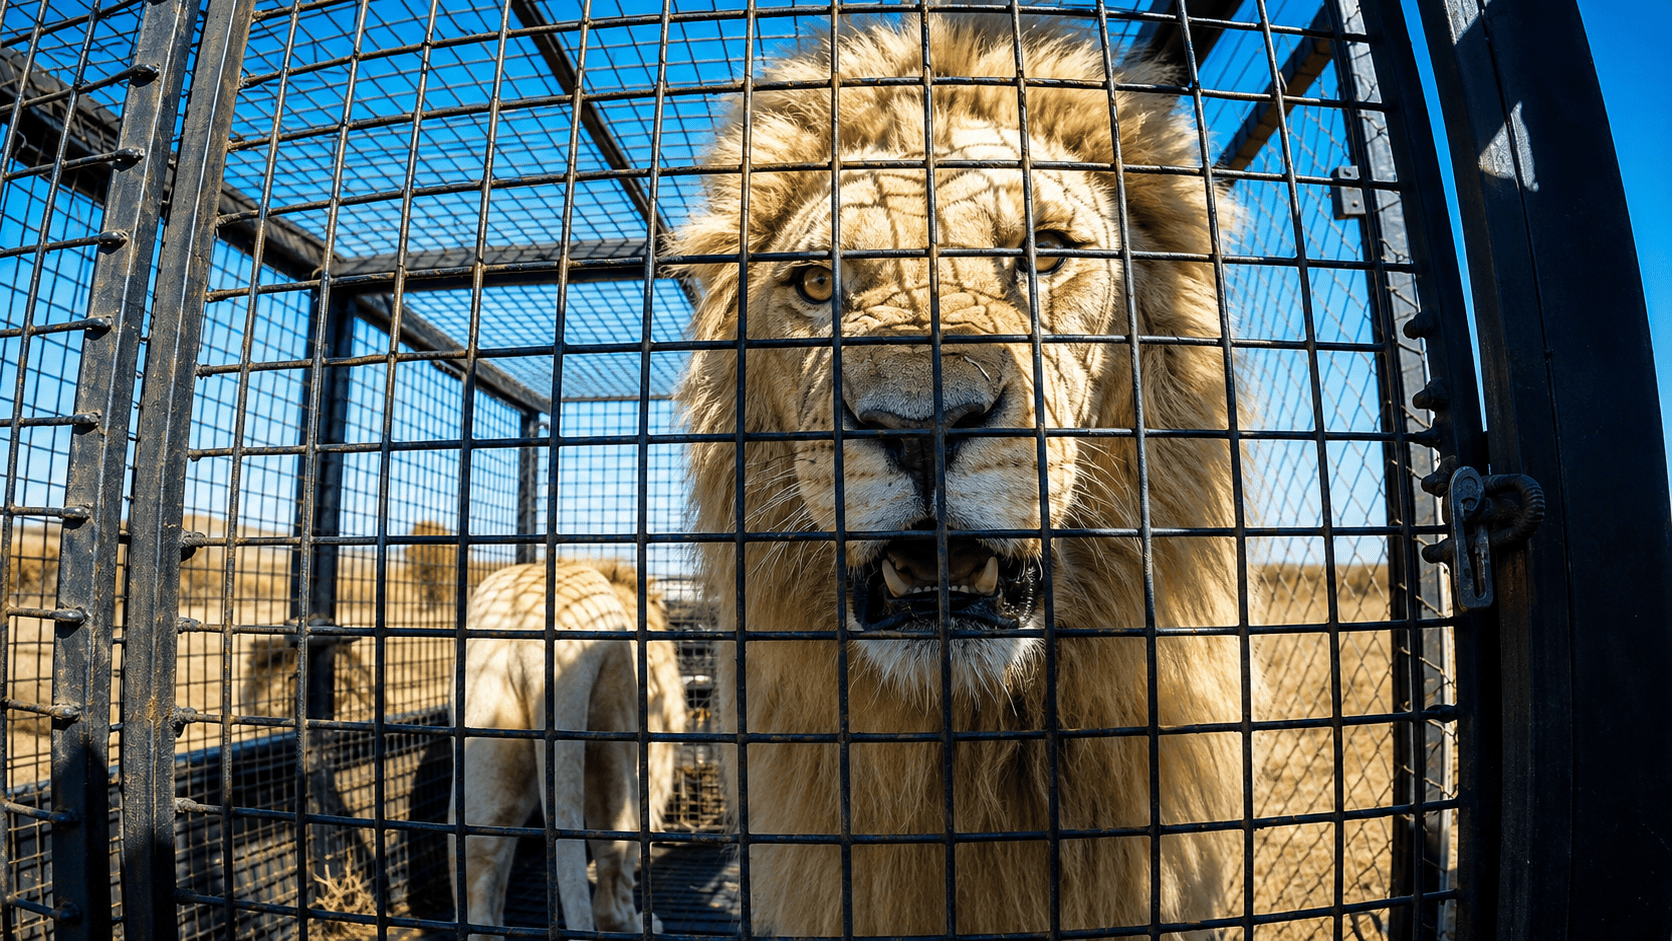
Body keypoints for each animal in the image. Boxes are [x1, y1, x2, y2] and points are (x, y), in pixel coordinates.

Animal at [449, 559, 687, 938]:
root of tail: (529, 628)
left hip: (486, 738)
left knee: (480, 863)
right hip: (612, 721)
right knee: (611, 874)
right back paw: (634, 922)